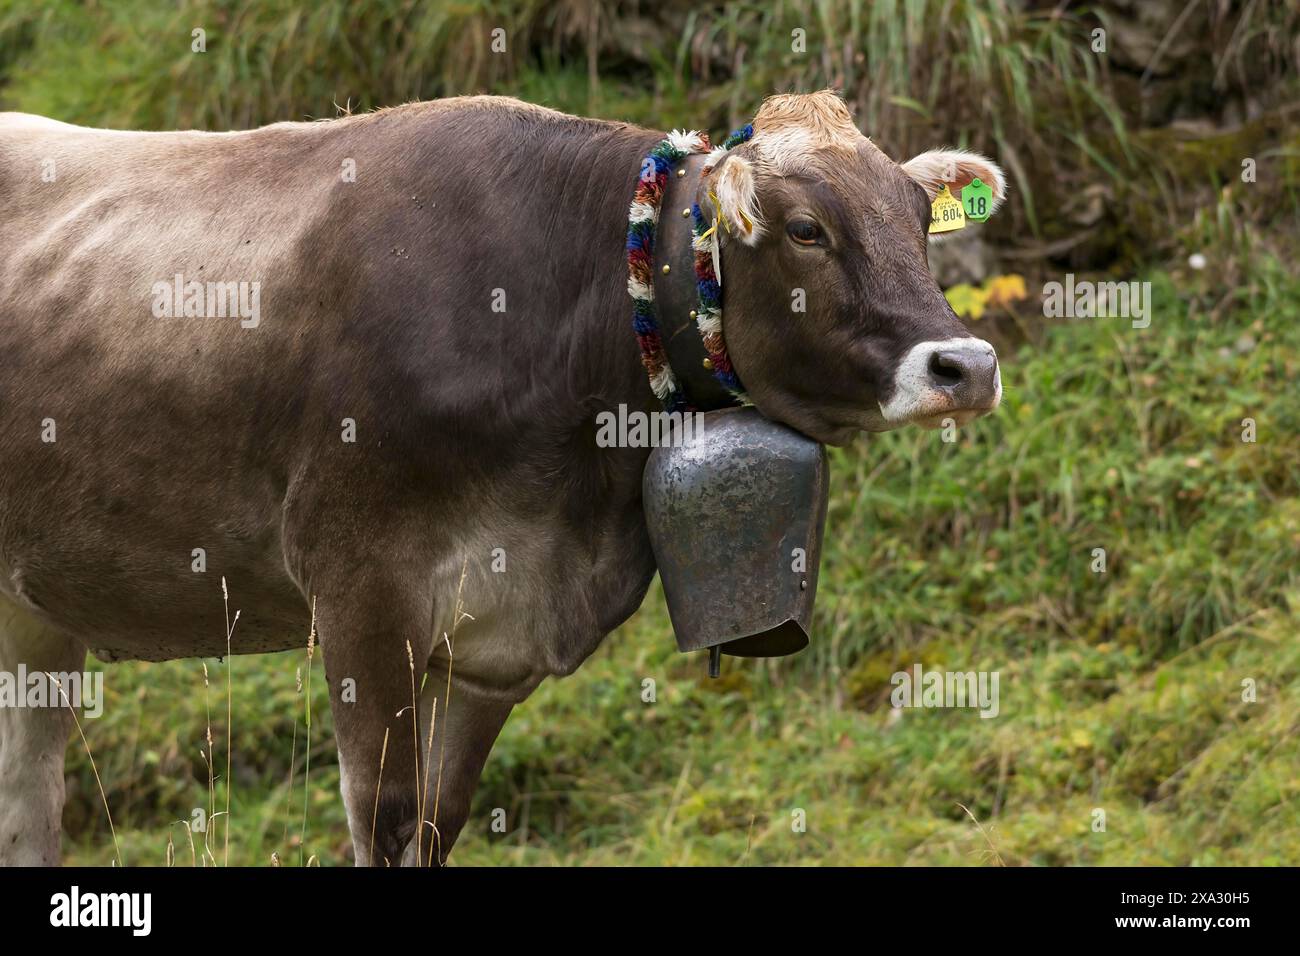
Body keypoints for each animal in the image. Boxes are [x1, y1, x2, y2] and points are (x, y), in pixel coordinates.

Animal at [0, 90, 1003, 866]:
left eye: (919, 218)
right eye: (806, 229)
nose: (967, 365)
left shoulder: (494, 644)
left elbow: (435, 831)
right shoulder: (361, 593)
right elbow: (383, 824)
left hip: (30, 623)